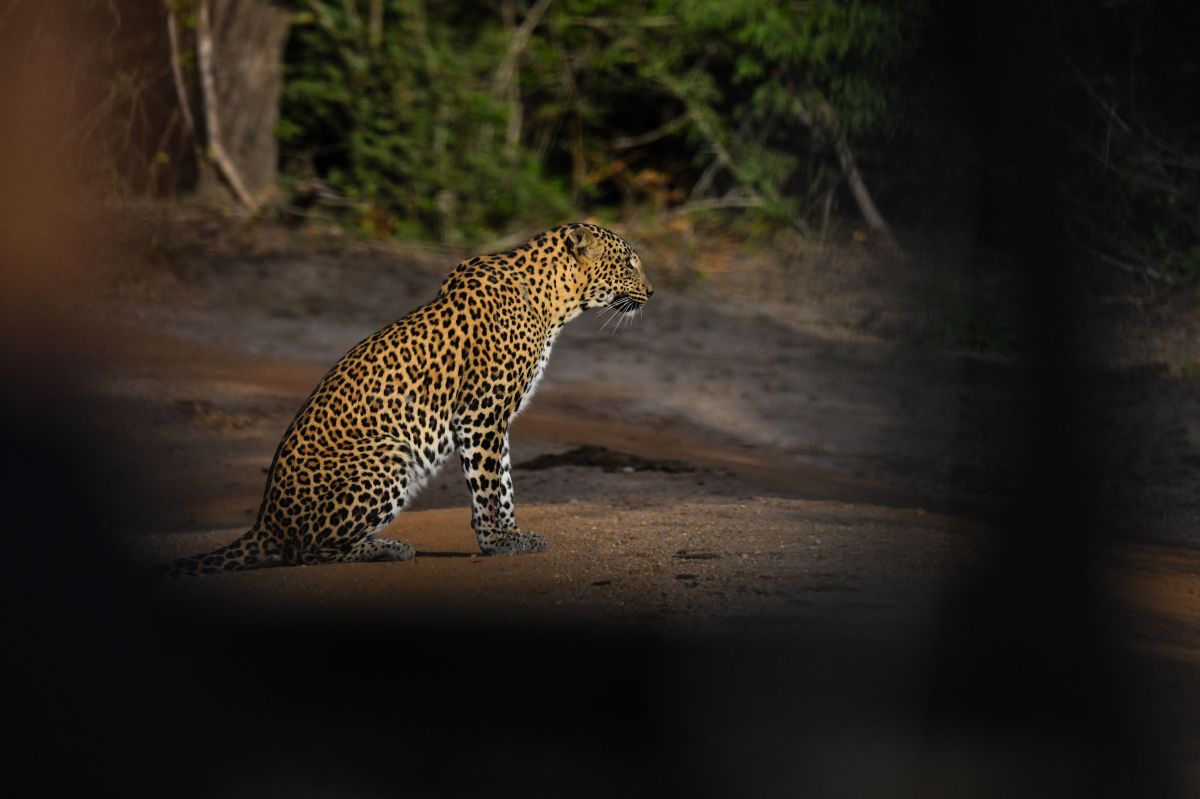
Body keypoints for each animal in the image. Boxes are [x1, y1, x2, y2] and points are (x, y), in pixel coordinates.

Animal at [153, 223, 652, 577]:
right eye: (629, 264)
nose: (652, 293)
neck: (556, 303)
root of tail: (265, 521)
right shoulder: (481, 414)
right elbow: (490, 487)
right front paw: (498, 543)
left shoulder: (495, 420)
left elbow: (505, 483)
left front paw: (510, 536)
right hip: (390, 455)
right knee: (304, 551)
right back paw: (388, 548)